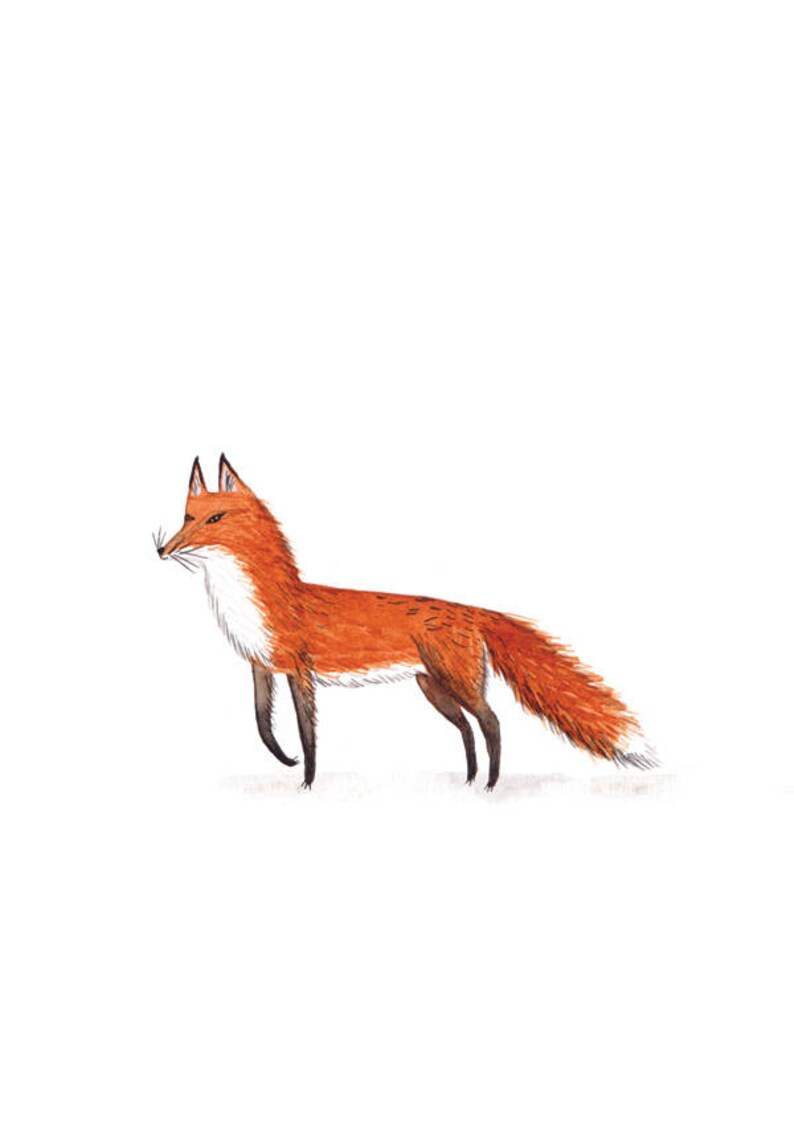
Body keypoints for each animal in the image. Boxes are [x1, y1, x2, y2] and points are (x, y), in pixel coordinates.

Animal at [155, 454, 657, 789]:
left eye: (215, 519)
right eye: (186, 517)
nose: (162, 549)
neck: (260, 601)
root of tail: (474, 610)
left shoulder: (300, 670)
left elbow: (308, 733)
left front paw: (308, 782)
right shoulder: (261, 667)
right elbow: (262, 728)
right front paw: (287, 762)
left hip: (457, 683)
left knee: (491, 722)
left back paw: (491, 784)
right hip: (432, 687)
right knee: (467, 729)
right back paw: (469, 781)